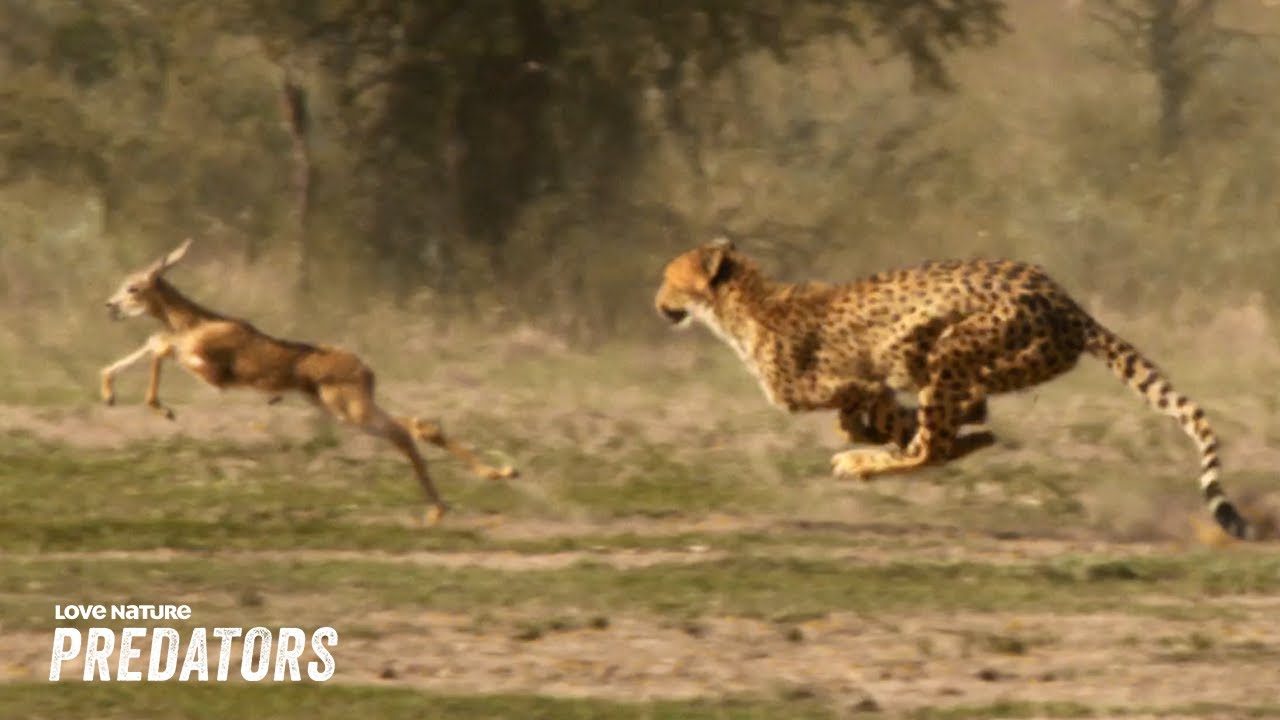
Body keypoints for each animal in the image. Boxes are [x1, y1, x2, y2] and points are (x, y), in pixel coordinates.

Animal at [654, 237, 1249, 539]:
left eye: (668, 277)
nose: (656, 302)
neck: (745, 305)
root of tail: (1069, 304)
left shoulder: (853, 380)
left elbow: (888, 421)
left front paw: (865, 442)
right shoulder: (871, 383)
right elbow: (886, 419)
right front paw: (869, 432)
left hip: (951, 347)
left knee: (934, 444)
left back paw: (864, 463)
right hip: (965, 359)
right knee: (960, 420)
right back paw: (966, 435)